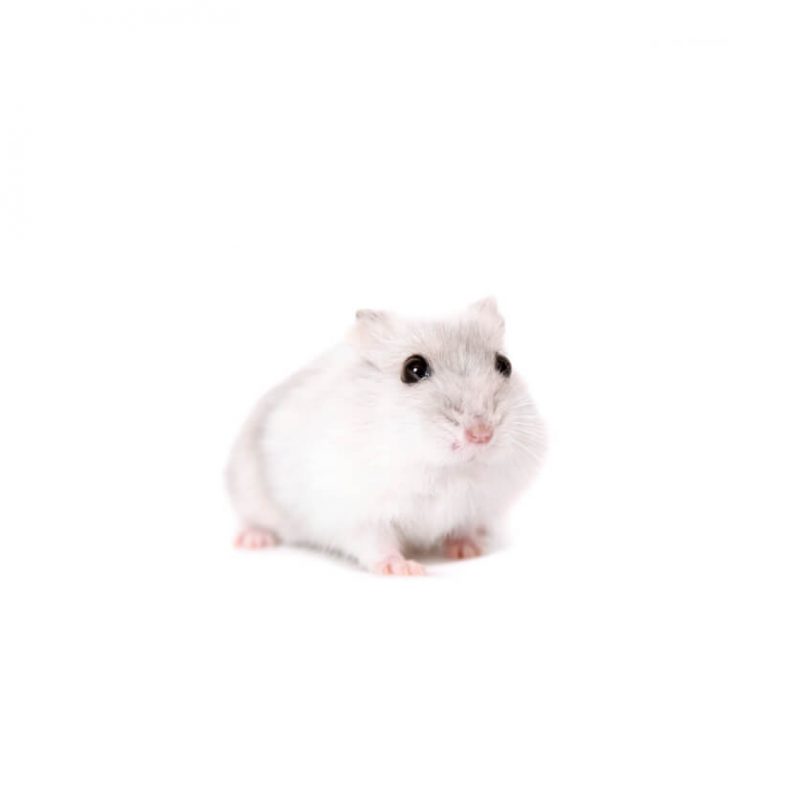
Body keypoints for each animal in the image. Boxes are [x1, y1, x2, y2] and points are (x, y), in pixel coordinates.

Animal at [226, 298, 545, 575]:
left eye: (504, 365)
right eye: (413, 369)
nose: (482, 435)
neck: (444, 468)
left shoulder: (476, 506)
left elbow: (463, 528)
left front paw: (470, 550)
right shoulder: (359, 515)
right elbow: (376, 544)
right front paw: (405, 569)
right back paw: (252, 541)